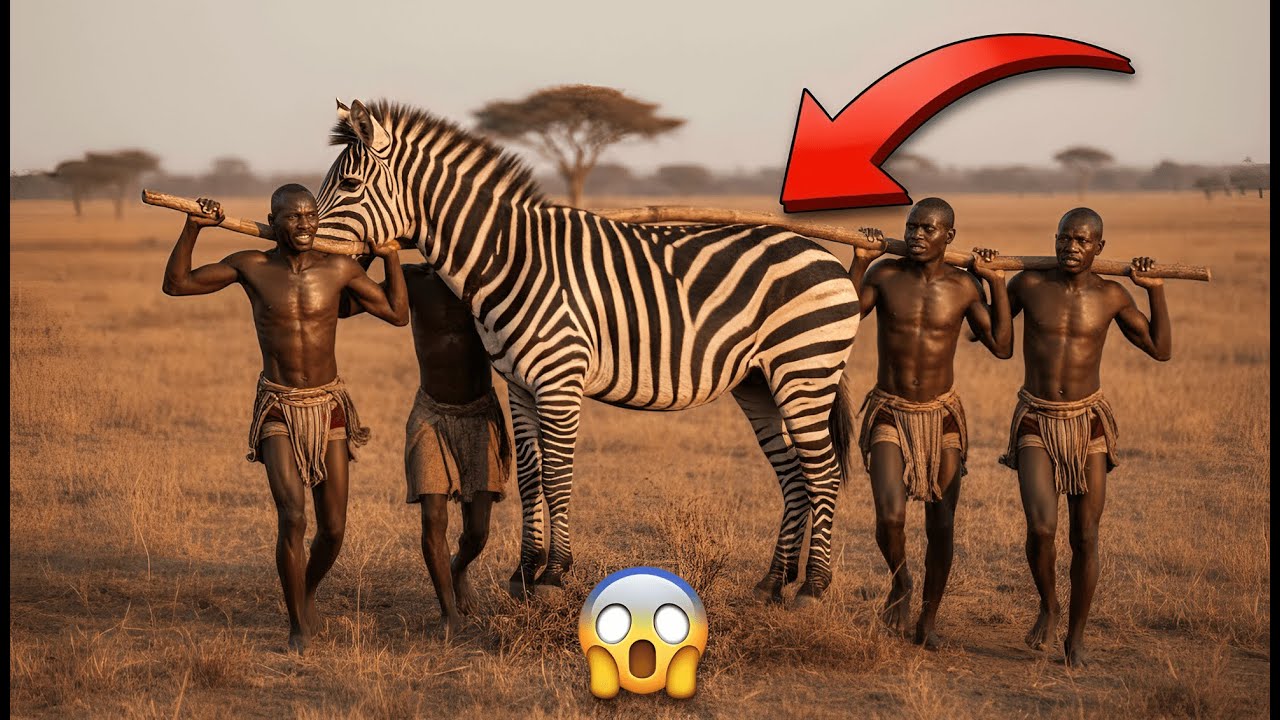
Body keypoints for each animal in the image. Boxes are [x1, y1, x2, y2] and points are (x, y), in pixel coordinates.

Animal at [315, 99, 860, 603]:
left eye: (349, 186)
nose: (308, 252)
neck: (509, 258)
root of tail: (824, 253)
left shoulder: (559, 379)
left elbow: (557, 475)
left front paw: (554, 575)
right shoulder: (519, 385)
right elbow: (531, 475)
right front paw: (523, 573)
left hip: (804, 370)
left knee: (823, 473)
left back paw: (813, 588)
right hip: (758, 383)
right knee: (794, 476)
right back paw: (771, 583)